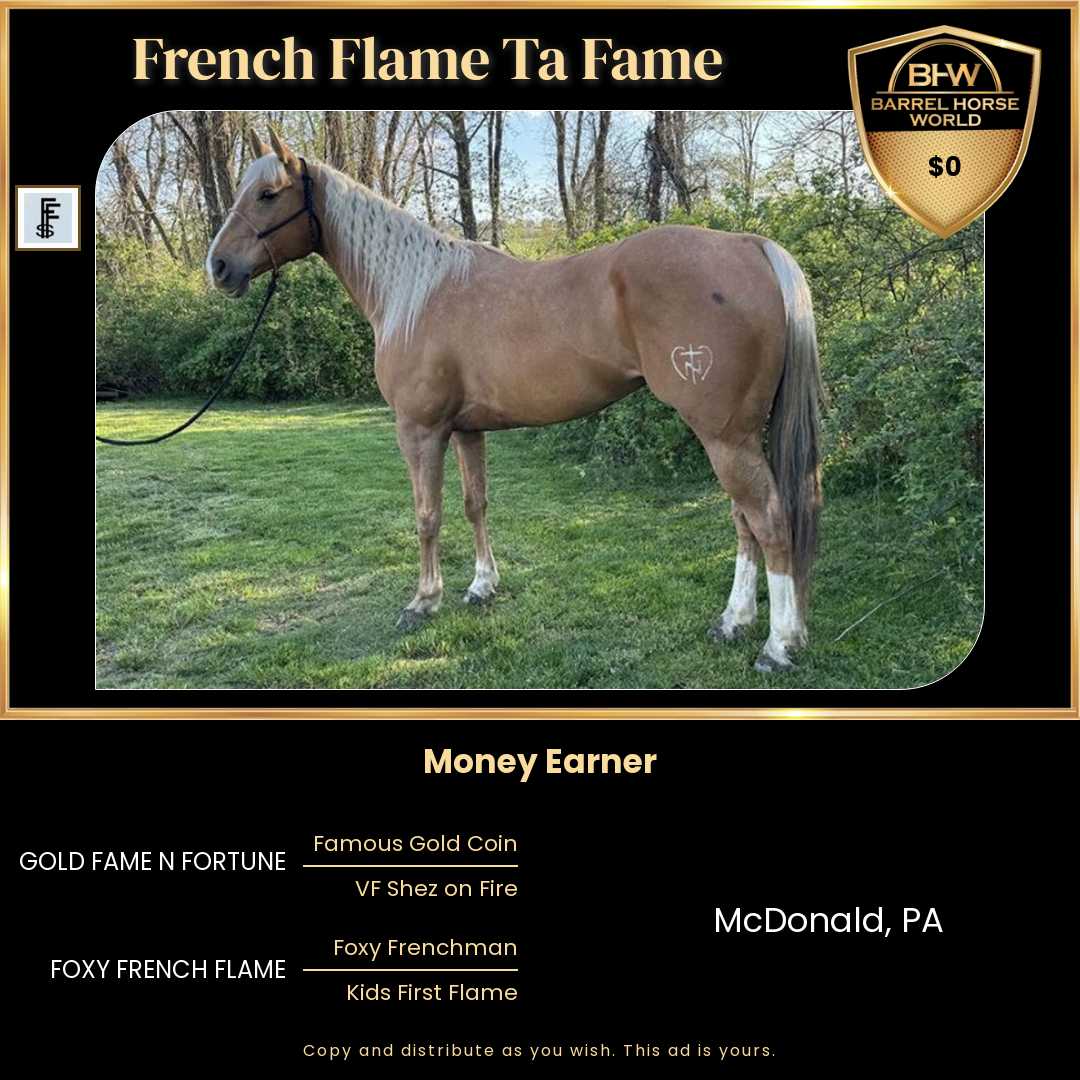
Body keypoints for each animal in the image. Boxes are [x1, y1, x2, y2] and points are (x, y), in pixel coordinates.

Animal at [206, 130, 822, 672]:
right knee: (744, 522)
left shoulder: (420, 430)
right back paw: (734, 622)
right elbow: (474, 504)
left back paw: (778, 645)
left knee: (768, 521)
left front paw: (423, 602)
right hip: (732, 435)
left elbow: (427, 515)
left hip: (724, 437)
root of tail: (750, 245)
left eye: (268, 194)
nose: (218, 266)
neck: (413, 292)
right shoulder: (465, 430)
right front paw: (482, 586)